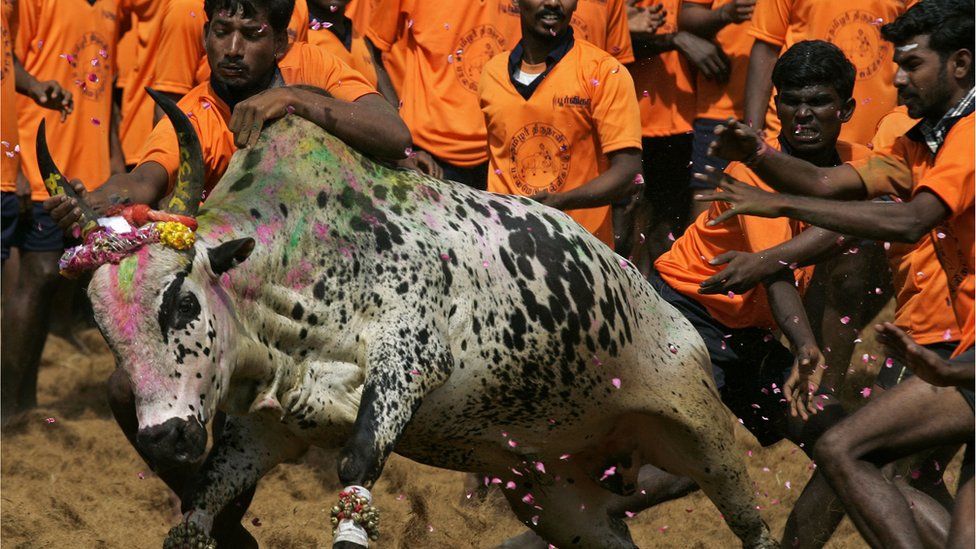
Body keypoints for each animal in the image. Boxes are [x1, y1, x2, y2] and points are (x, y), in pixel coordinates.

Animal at [41, 91, 778, 549]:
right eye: (105, 328)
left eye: (183, 301)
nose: (165, 437)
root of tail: (665, 308)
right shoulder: (262, 433)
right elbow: (195, 512)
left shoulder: (409, 365)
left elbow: (355, 476)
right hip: (560, 499)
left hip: (706, 436)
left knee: (754, 525)